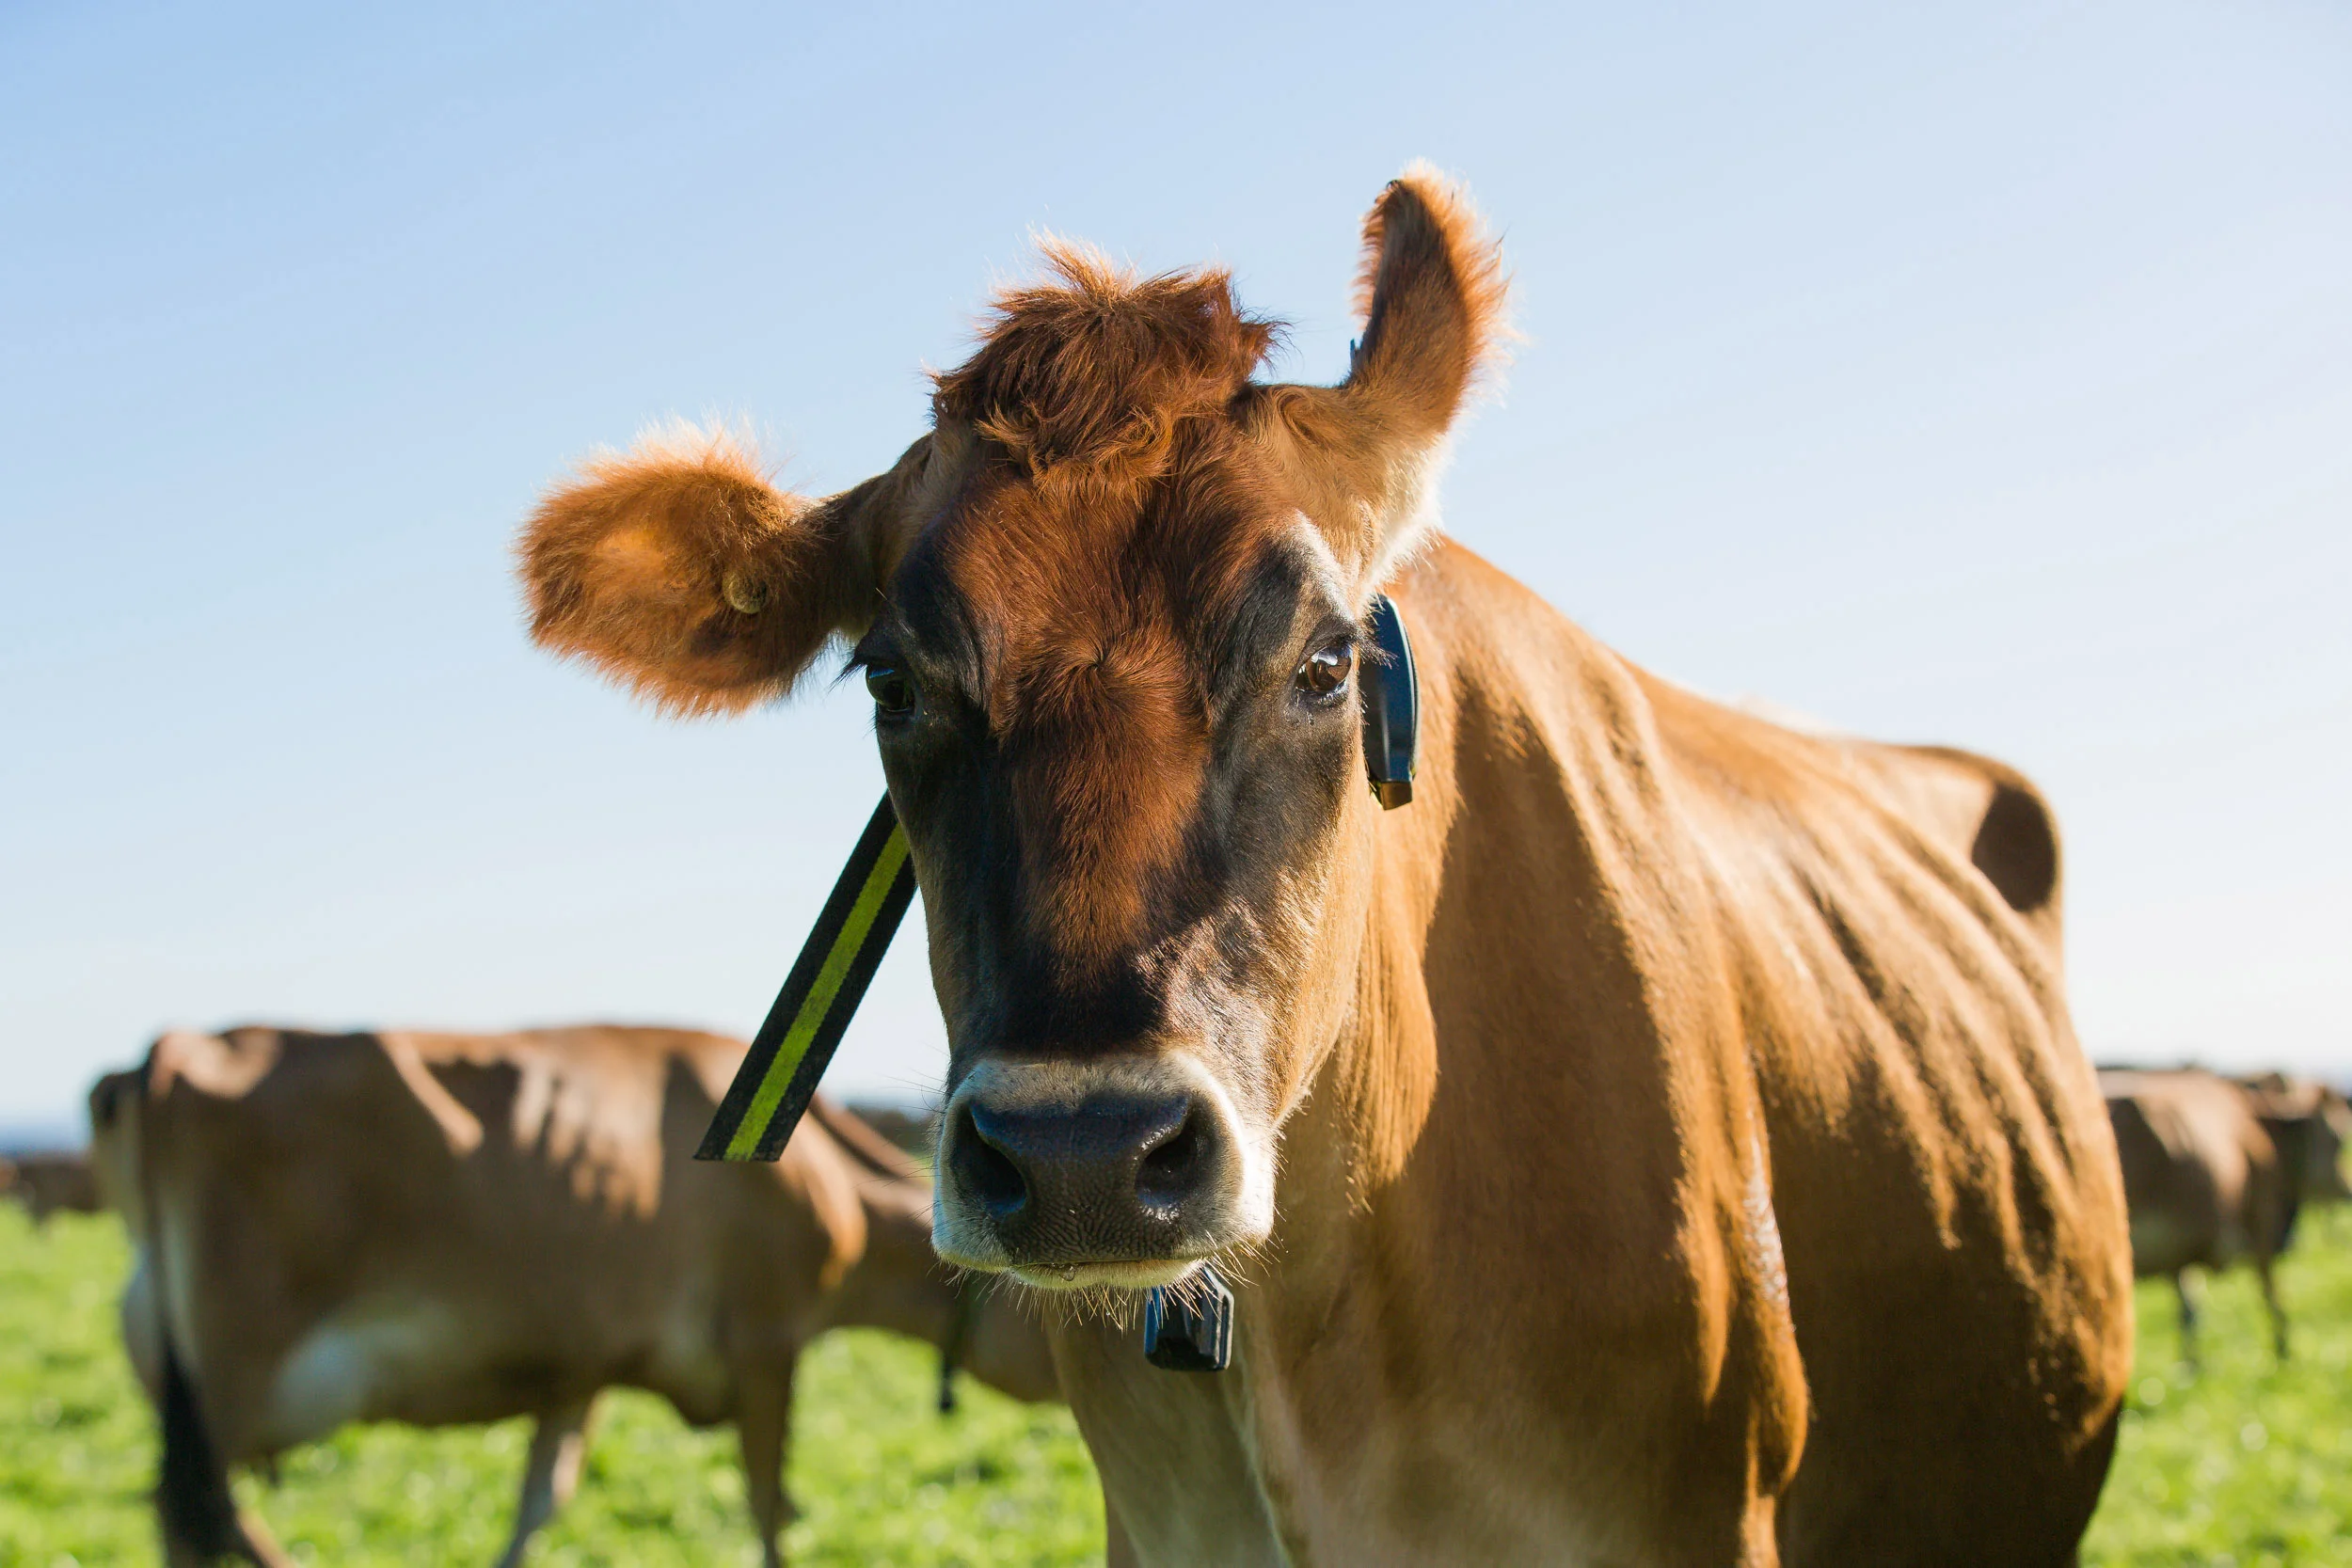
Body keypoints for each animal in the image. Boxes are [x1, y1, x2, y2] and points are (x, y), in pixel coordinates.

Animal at [88, 1025, 1058, 1568]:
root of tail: (175, 1046)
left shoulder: (579, 1365)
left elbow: (539, 1501)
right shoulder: (766, 1338)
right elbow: (770, 1507)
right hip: (231, 1368)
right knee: (194, 1512)